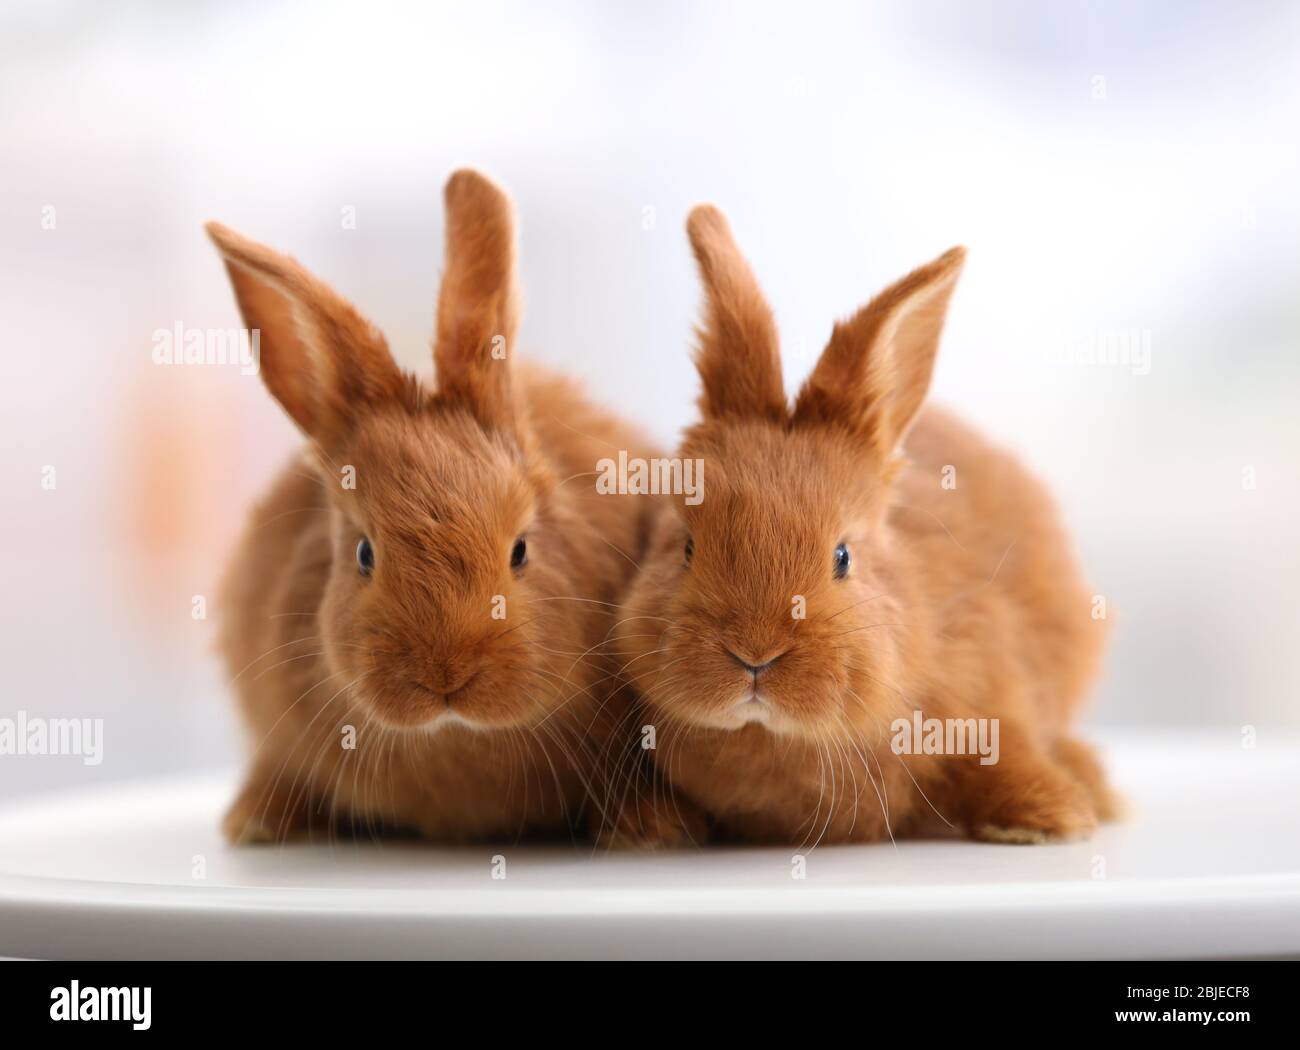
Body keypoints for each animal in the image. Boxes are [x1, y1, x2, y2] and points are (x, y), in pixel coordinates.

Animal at [612, 204, 1120, 846]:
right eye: (686, 546)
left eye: (843, 557)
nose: (755, 654)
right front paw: (648, 824)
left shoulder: (994, 680)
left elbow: (1004, 746)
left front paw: (1051, 817)